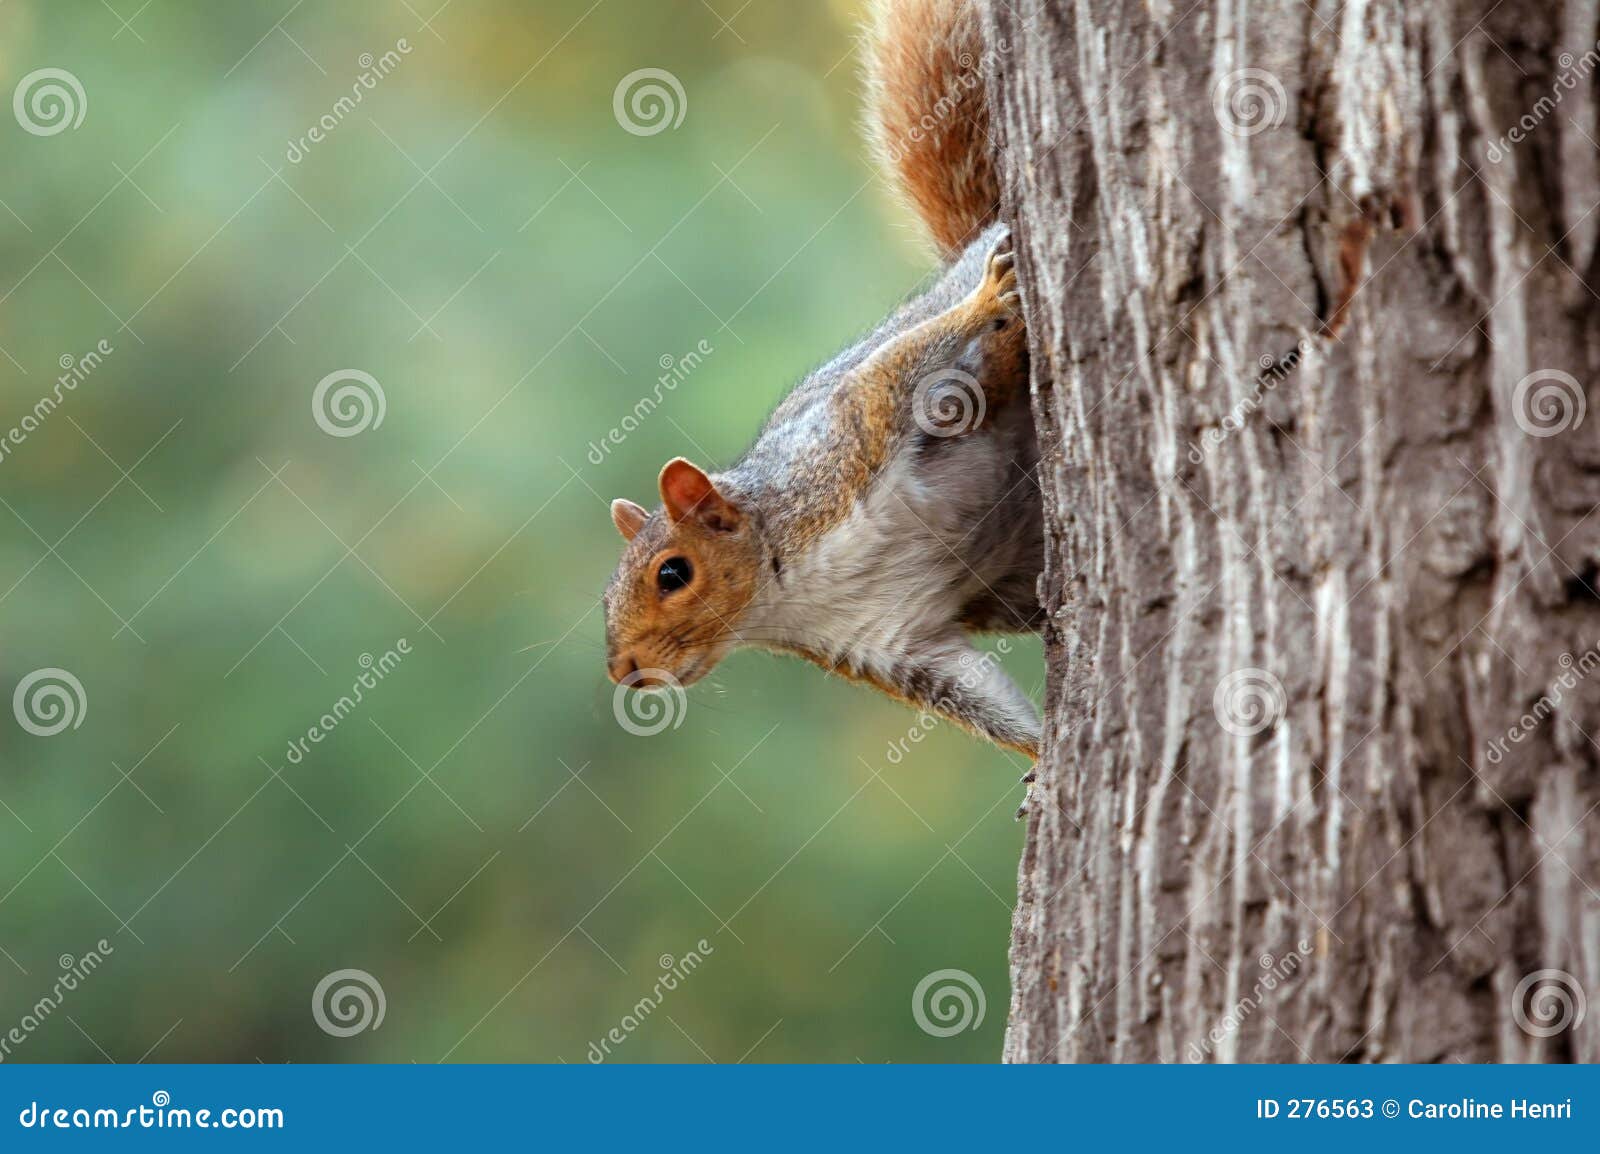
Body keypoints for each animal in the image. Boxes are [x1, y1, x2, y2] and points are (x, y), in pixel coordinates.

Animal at [603, 0, 1043, 761]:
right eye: (605, 598)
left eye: (672, 573)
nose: (625, 672)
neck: (787, 591)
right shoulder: (887, 641)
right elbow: (971, 696)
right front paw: (1048, 760)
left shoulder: (844, 452)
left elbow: (897, 374)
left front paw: (984, 304)